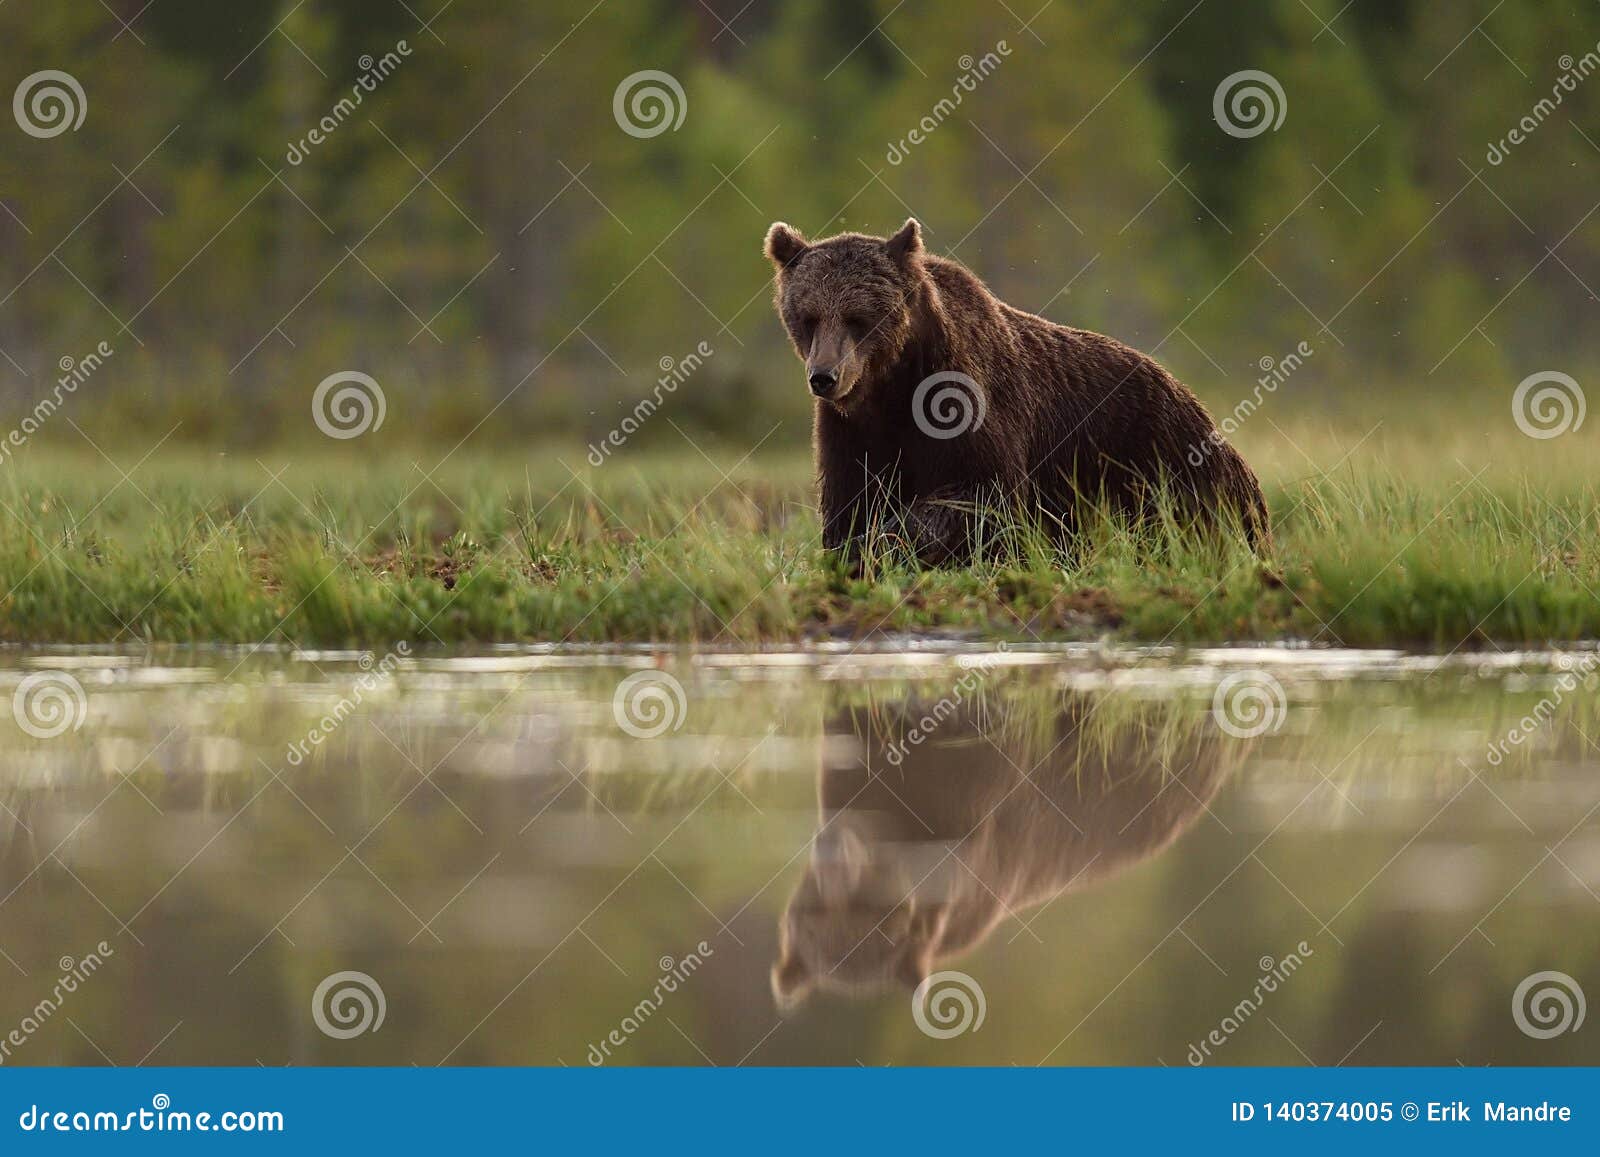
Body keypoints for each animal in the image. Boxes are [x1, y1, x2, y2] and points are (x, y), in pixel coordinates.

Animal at [763, 218, 1271, 566]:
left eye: (858, 318)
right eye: (807, 317)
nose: (824, 377)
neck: (894, 388)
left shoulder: (965, 403)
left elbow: (983, 495)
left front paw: (887, 541)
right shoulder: (852, 432)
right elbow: (851, 502)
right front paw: (856, 549)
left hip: (1162, 459)